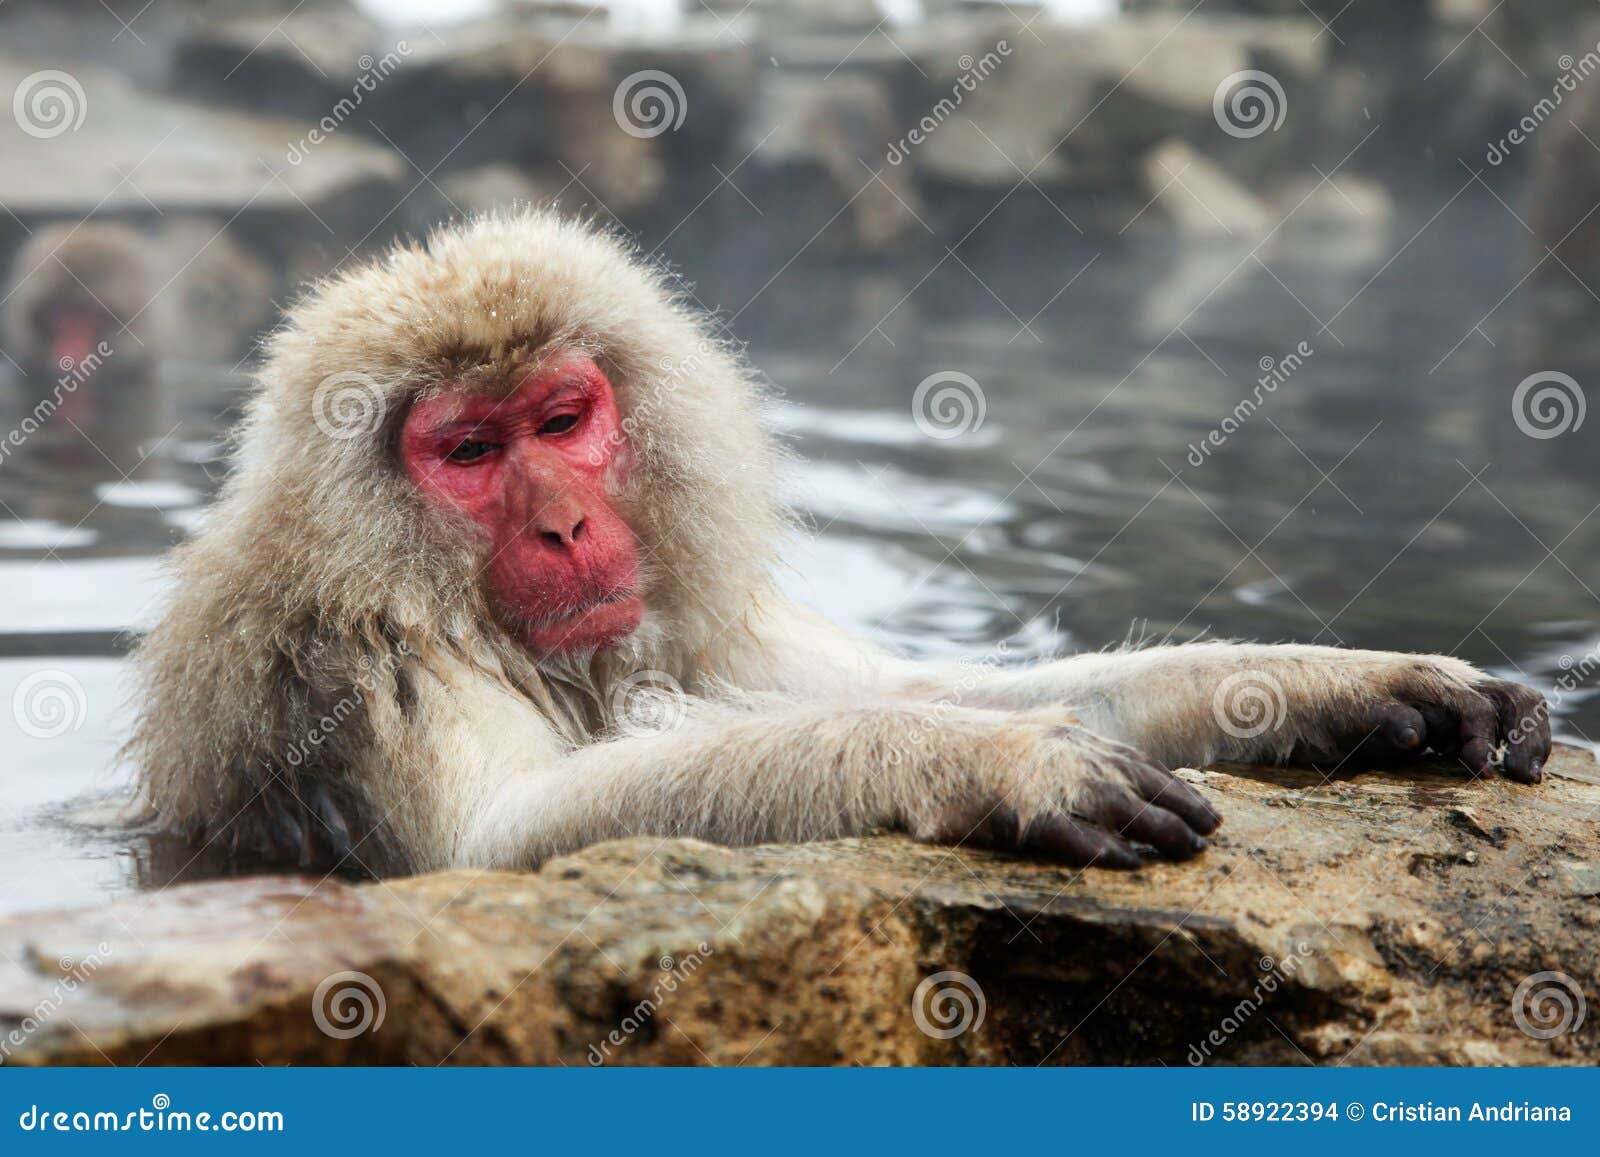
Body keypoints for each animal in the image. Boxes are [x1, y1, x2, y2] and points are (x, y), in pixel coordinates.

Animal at [128, 210, 1552, 879]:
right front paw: (990, 765)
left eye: (562, 420)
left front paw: (1348, 681)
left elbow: (917, 683)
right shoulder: (354, 664)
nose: (564, 520)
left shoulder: (693, 621)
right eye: (470, 452)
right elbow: (499, 838)